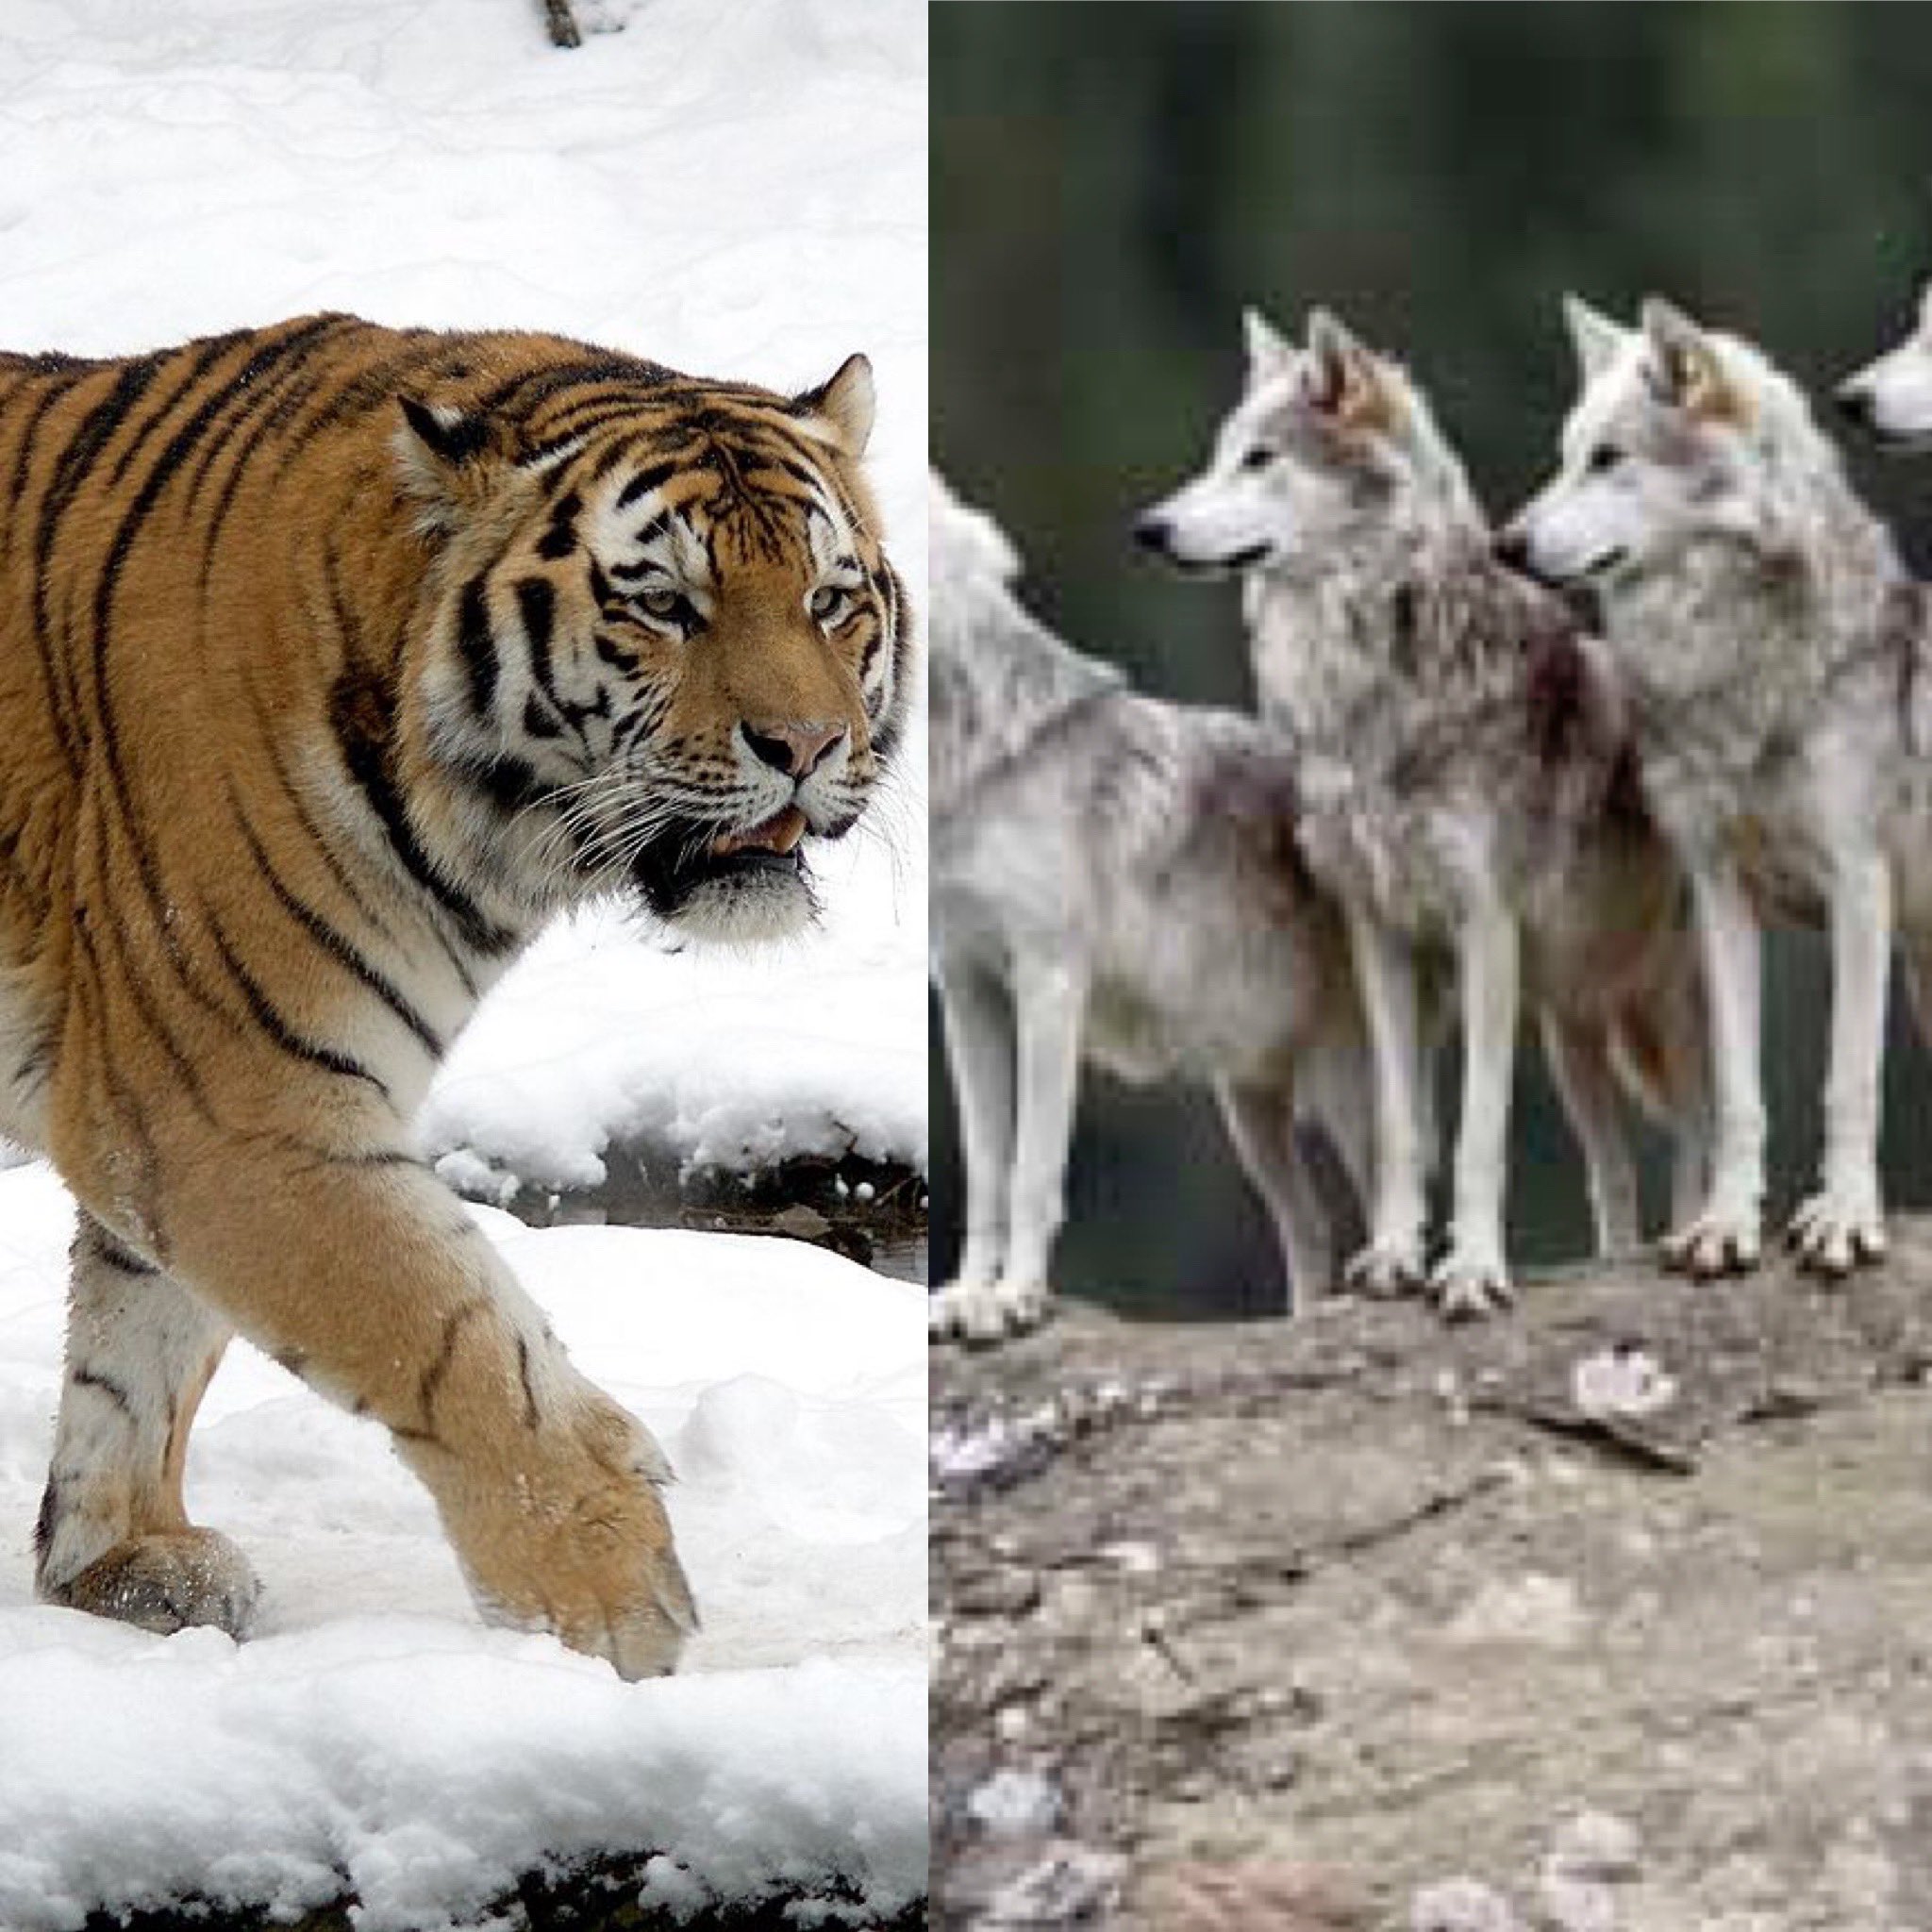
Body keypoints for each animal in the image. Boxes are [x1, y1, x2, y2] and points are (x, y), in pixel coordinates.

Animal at [0, 313, 912, 1679]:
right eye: (663, 604)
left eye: (829, 600)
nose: (805, 747)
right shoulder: (228, 1110)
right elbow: (448, 1332)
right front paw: (610, 1607)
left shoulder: (174, 1109)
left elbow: (139, 1341)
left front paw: (117, 1565)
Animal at [927, 470, 1368, 1342]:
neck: (977, 759)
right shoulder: (966, 990)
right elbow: (988, 1172)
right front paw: (965, 1300)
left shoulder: (1049, 982)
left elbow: (1030, 1173)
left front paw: (1015, 1300)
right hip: (1250, 1111)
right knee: (1311, 1230)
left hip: (1348, 1089)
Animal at [1136, 309, 1709, 1316]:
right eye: (1218, 457)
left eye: (1260, 459)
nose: (1148, 528)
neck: (1375, 697)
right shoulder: (1383, 936)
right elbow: (1403, 1131)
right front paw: (1396, 1259)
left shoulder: (1485, 934)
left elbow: (1478, 1137)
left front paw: (1473, 1271)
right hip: (1572, 1031)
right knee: (1614, 1169)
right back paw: (1620, 1261)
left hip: (1662, 996)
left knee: (1702, 1129)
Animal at [1503, 294, 1932, 1278]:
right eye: (1564, 455)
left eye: (1609, 457)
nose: (1505, 543)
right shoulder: (1720, 891)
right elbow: (1739, 1093)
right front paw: (1724, 1228)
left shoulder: (1859, 887)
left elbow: (1849, 1078)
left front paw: (1843, 1220)